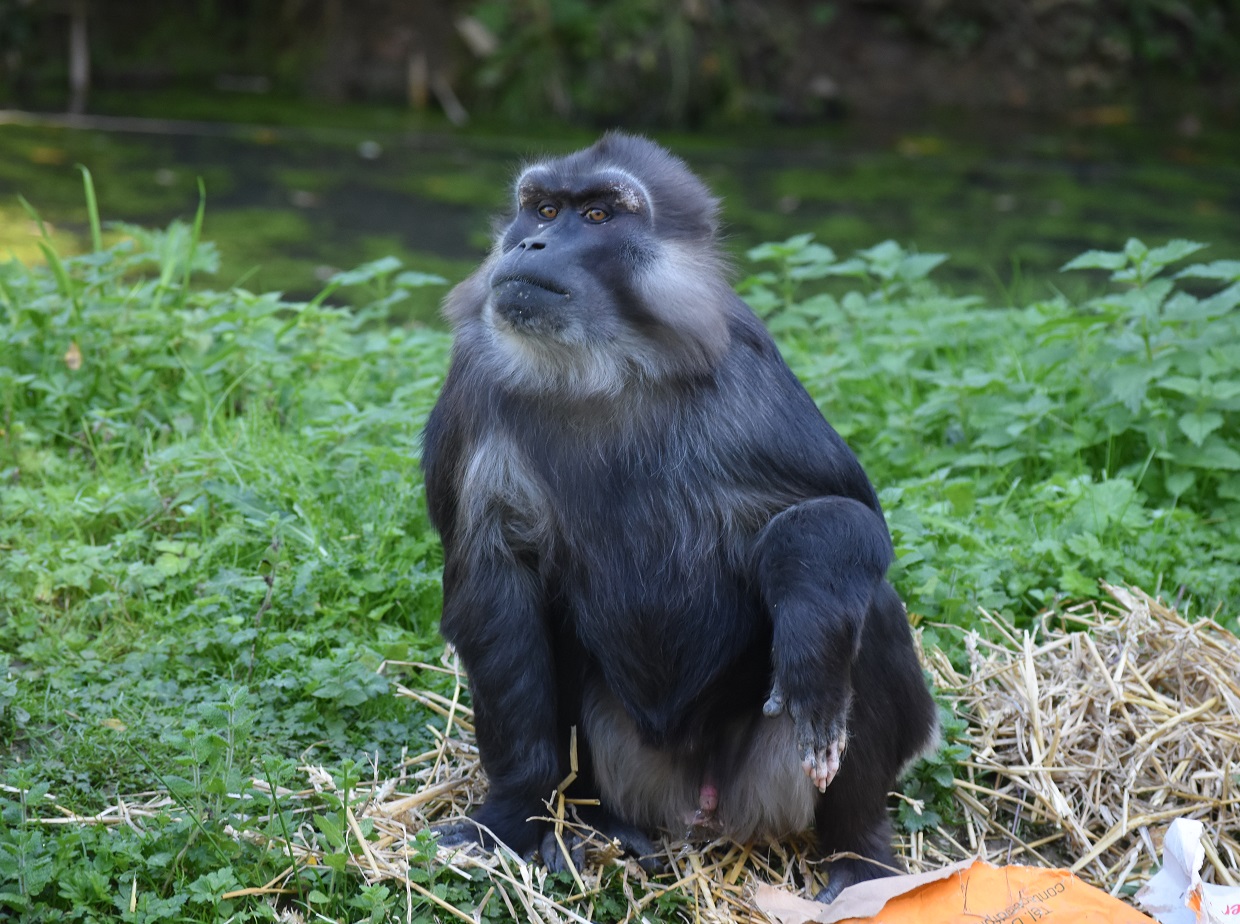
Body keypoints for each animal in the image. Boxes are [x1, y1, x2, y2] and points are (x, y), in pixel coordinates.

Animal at [420, 132, 938, 902]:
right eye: (542, 209)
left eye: (597, 215)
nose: (533, 243)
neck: (603, 367)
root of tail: (703, 812)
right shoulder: (473, 382)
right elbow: (493, 593)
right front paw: (511, 815)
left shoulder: (746, 363)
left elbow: (845, 514)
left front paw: (811, 649)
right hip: (632, 769)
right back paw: (600, 826)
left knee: (867, 605)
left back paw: (860, 857)